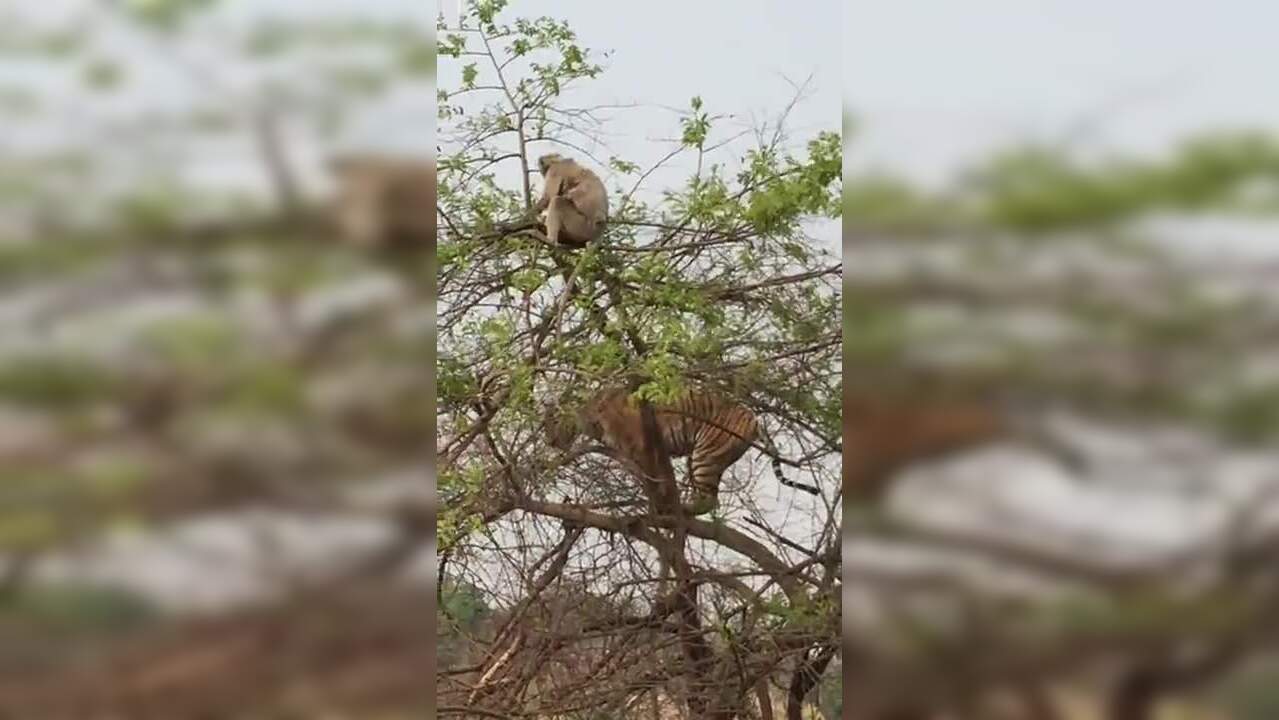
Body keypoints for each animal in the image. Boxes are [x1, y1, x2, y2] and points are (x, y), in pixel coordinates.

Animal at [546, 385, 817, 516]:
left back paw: (683, 508)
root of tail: (754, 419)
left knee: (710, 501)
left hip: (705, 455)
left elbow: (651, 475)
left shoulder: (641, 445)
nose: (549, 441)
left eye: (550, 421)